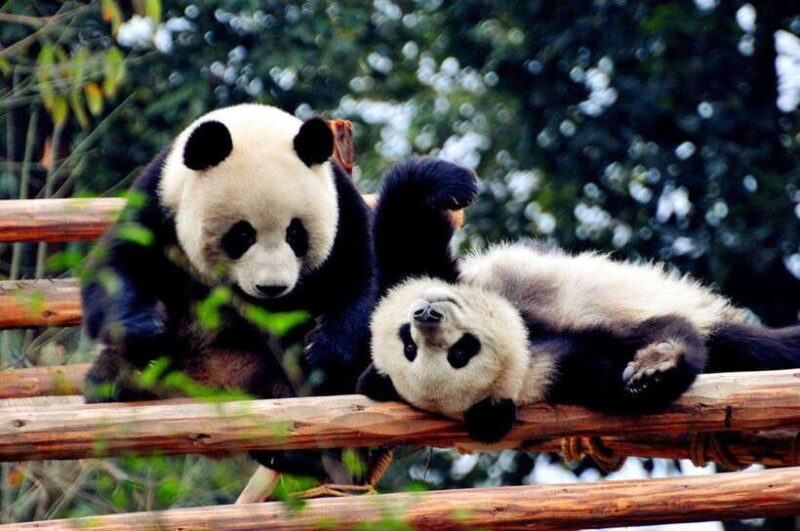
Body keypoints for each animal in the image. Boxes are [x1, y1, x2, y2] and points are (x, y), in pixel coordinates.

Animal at [81, 104, 375, 479]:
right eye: (242, 234)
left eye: (296, 233)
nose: (272, 287)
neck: (252, 125)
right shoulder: (158, 200)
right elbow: (118, 265)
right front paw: (144, 327)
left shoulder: (342, 208)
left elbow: (364, 278)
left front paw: (323, 348)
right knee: (112, 371)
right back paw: (118, 381)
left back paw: (303, 455)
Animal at [358, 159, 800, 443]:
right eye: (457, 355)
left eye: (406, 341)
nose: (426, 314)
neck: (525, 333)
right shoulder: (561, 371)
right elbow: (638, 355)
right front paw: (657, 368)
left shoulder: (418, 270)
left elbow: (403, 230)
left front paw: (450, 183)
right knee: (754, 346)